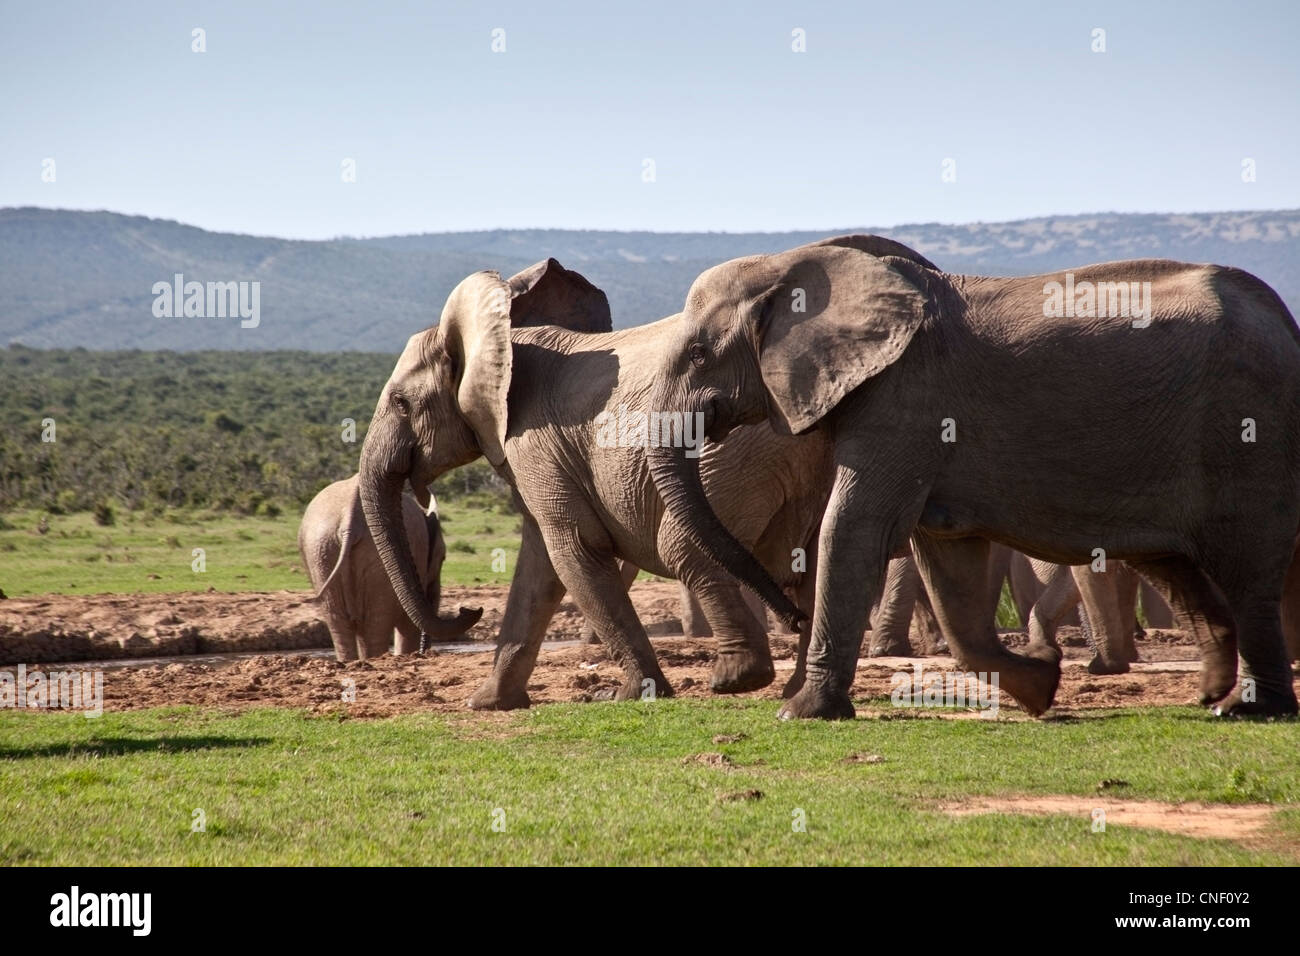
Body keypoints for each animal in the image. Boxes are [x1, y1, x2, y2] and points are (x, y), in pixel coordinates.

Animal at [298, 475, 481, 660]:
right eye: (442, 558)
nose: (465, 610)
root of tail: (349, 521)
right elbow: (408, 624)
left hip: (320, 552)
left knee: (340, 624)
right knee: (373, 624)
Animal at [357, 257, 833, 709]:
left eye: (400, 403)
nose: (468, 607)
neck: (507, 337)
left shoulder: (535, 443)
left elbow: (573, 549)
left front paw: (631, 695)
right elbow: (538, 566)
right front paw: (488, 704)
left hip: (731, 450)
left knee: (685, 551)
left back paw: (741, 676)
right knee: (818, 560)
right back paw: (794, 690)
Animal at [644, 234, 1300, 719]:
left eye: (700, 353)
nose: (791, 614)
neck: (792, 262)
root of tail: (1284, 318)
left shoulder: (905, 395)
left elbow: (856, 528)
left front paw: (801, 714)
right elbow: (947, 561)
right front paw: (1040, 687)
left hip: (1249, 426)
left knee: (1245, 568)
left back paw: (1250, 710)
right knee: (1172, 565)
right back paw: (1209, 696)